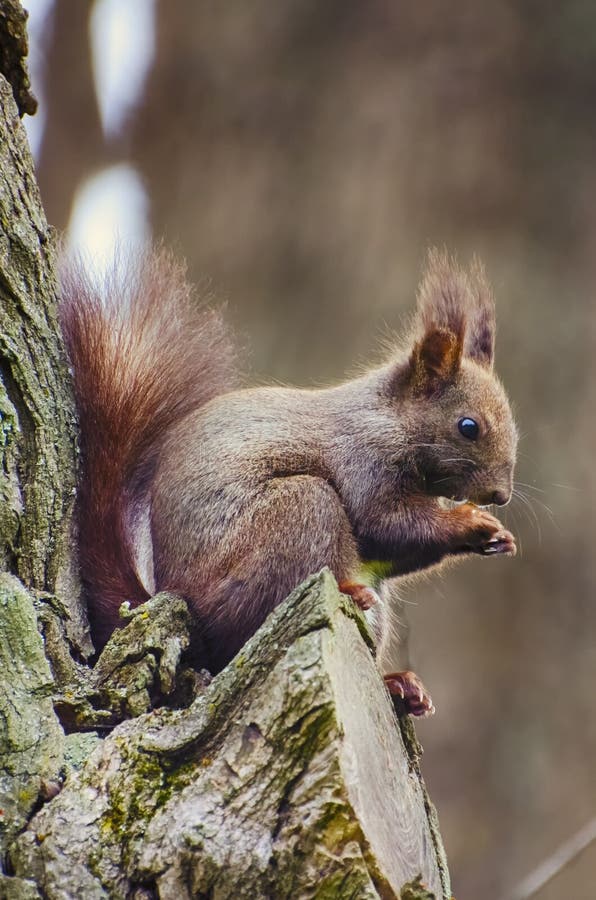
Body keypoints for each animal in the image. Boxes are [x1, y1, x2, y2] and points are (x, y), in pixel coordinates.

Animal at [59, 247, 517, 717]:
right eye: (468, 426)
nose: (500, 496)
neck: (391, 420)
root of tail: (181, 599)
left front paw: (497, 538)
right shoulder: (362, 460)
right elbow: (386, 525)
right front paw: (472, 523)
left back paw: (398, 686)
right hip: (297, 511)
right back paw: (351, 596)